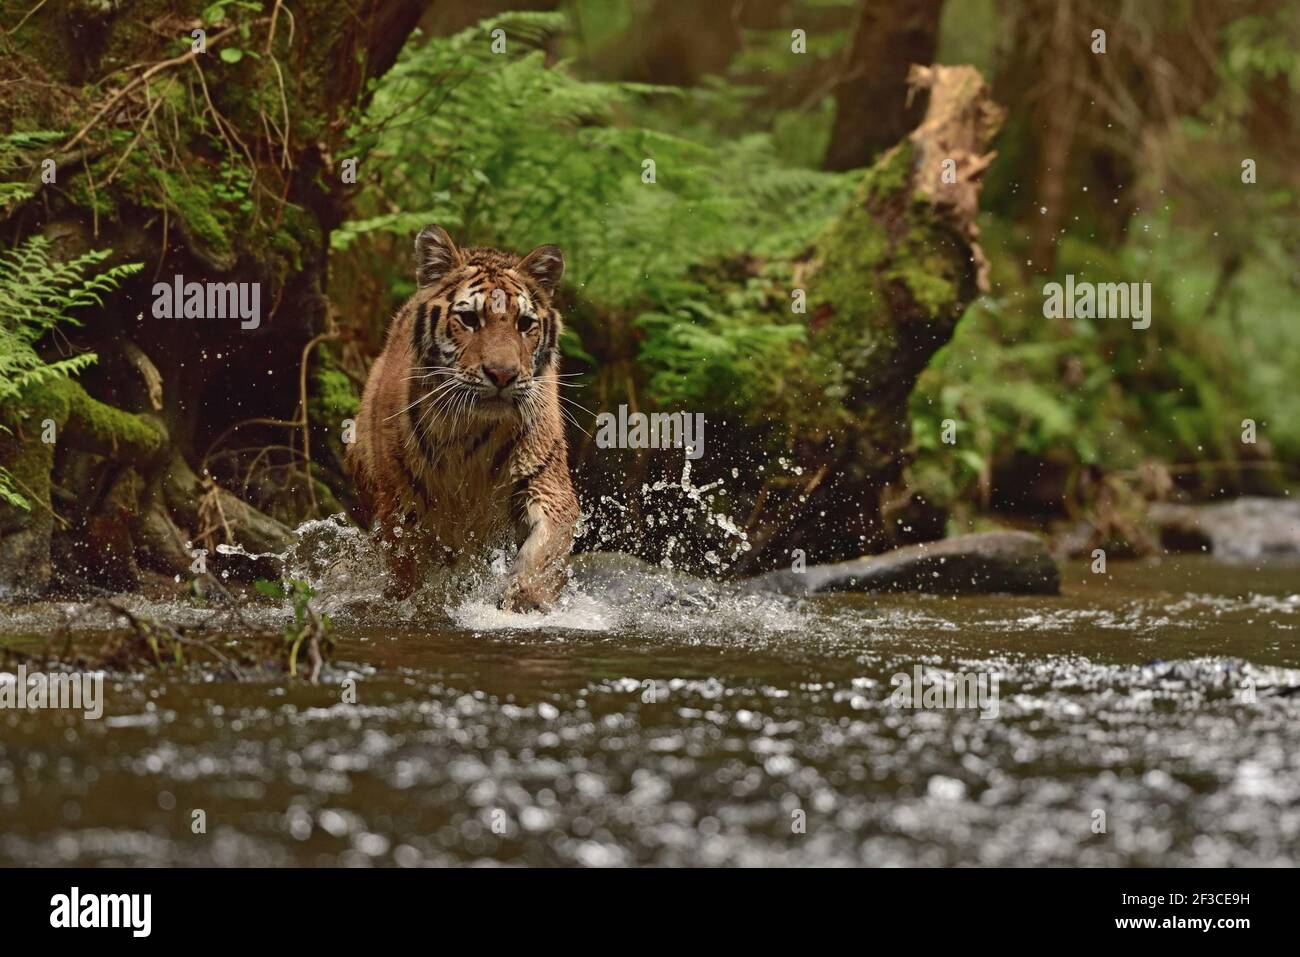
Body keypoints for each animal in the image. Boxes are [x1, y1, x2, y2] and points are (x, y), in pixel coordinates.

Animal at [347, 224, 578, 612]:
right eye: (469, 319)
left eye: (525, 324)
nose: (502, 374)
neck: (473, 431)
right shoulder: (400, 507)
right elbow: (407, 571)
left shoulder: (545, 483)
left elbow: (544, 552)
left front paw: (526, 600)